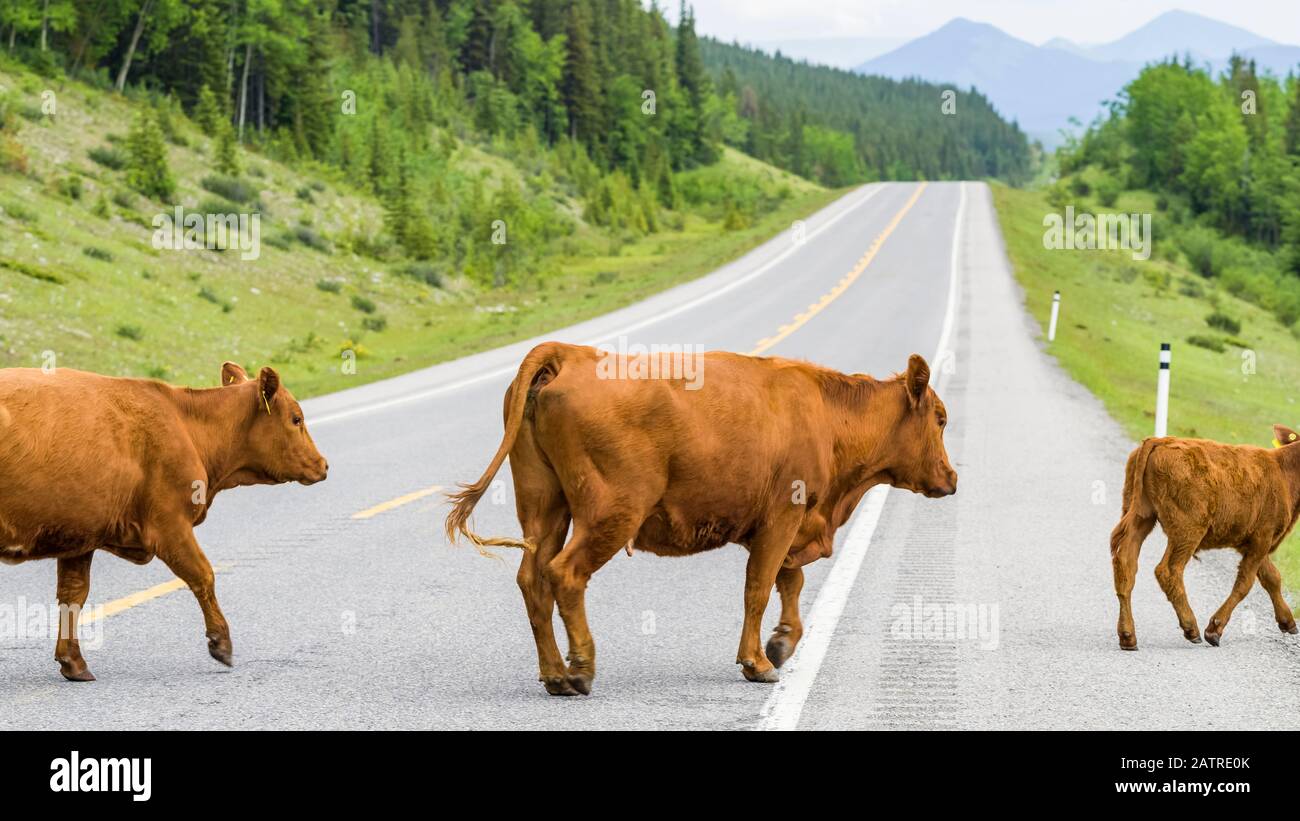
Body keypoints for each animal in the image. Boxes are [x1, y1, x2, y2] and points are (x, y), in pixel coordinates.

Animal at [0, 362, 328, 681]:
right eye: (296, 419)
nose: (323, 465)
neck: (185, 424)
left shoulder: (80, 538)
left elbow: (73, 595)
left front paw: (73, 662)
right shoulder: (170, 525)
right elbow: (203, 575)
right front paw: (221, 643)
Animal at [446, 341, 956, 696]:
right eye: (941, 417)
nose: (952, 478)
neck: (827, 415)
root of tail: (572, 354)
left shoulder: (783, 524)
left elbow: (788, 581)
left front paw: (782, 643)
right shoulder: (782, 516)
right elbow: (759, 587)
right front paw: (758, 663)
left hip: (544, 507)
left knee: (532, 579)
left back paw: (554, 675)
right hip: (610, 513)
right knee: (564, 575)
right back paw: (582, 669)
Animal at [1110, 427, 1300, 651]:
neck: (1284, 471)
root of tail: (1160, 441)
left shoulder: (1252, 543)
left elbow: (1272, 578)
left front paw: (1288, 621)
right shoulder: (1262, 538)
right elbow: (1245, 584)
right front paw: (1214, 629)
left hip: (1141, 516)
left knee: (1125, 563)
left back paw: (1128, 636)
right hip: (1188, 530)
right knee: (1168, 570)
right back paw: (1191, 628)